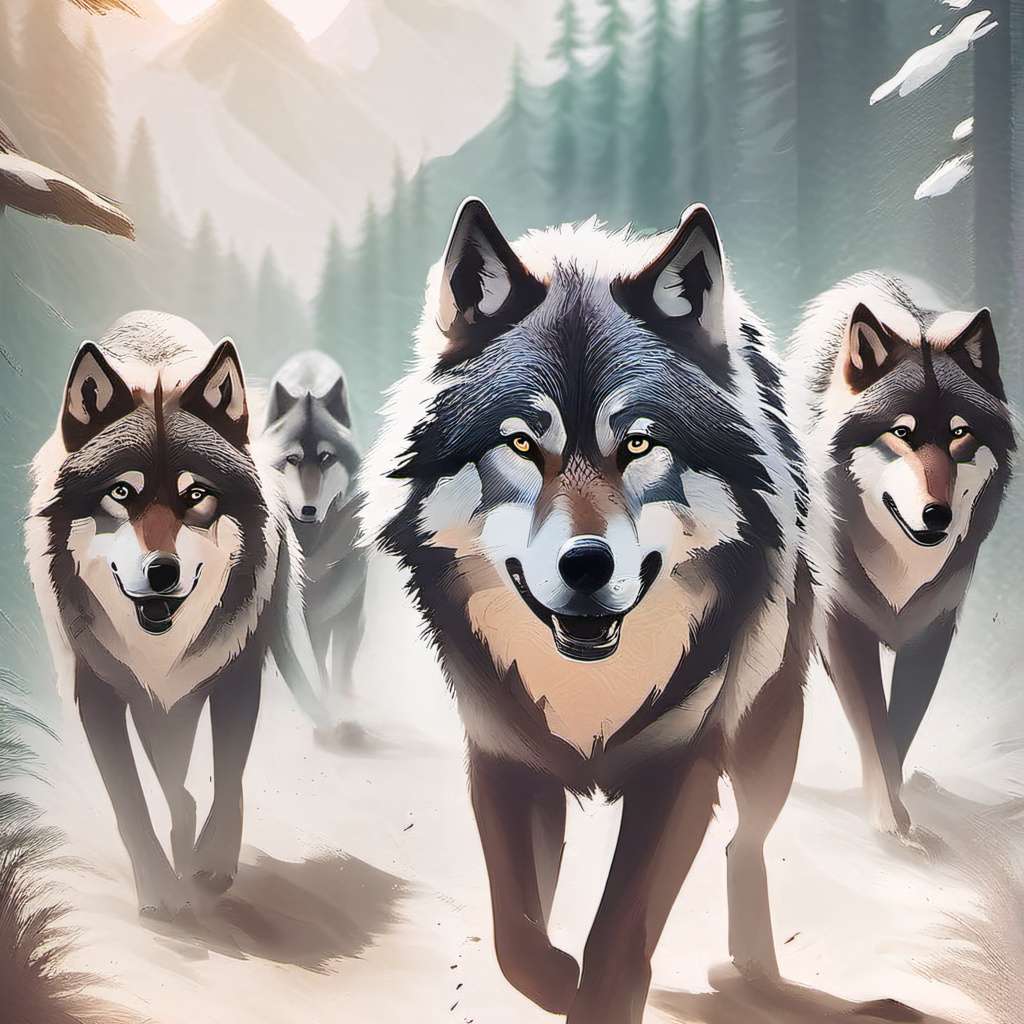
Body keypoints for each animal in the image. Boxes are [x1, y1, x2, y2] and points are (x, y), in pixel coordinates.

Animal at [25, 311, 324, 917]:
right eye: (121, 494)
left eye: (195, 495)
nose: (162, 571)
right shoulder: (98, 692)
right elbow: (129, 800)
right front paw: (160, 888)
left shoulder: (238, 675)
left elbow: (229, 774)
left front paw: (213, 861)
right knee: (169, 778)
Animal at [366, 198, 812, 1023]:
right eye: (519, 443)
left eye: (637, 444)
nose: (585, 565)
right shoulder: (504, 755)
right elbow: (516, 935)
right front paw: (557, 973)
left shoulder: (681, 766)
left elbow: (619, 936)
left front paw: (596, 985)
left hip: (767, 726)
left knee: (748, 841)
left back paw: (753, 968)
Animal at [788, 272, 1015, 835]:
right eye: (902, 433)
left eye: (959, 434)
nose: (937, 515)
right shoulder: (840, 623)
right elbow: (873, 724)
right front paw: (888, 822)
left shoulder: (933, 629)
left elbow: (901, 726)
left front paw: (895, 807)